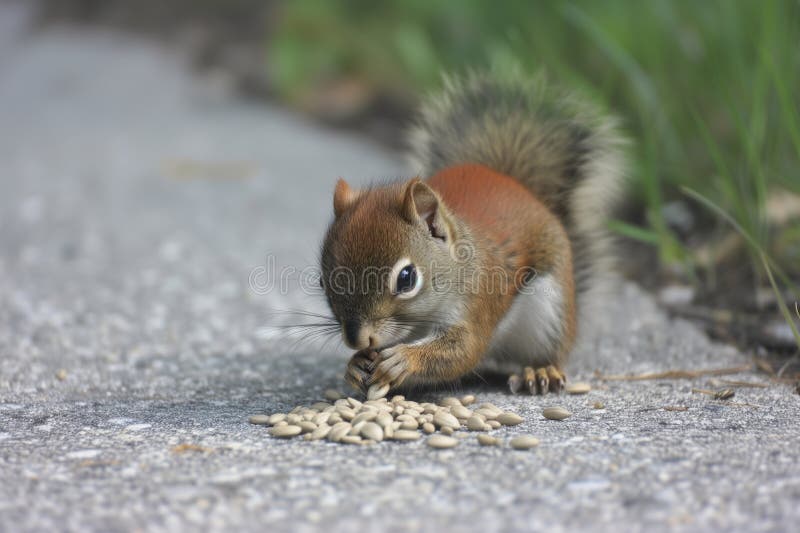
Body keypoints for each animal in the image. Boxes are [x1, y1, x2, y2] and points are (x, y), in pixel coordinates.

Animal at [319, 72, 625, 395]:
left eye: (406, 279)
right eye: (323, 281)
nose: (356, 339)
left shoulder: (478, 302)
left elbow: (465, 350)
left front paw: (403, 360)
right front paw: (354, 365)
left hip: (551, 313)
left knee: (549, 351)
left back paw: (541, 370)